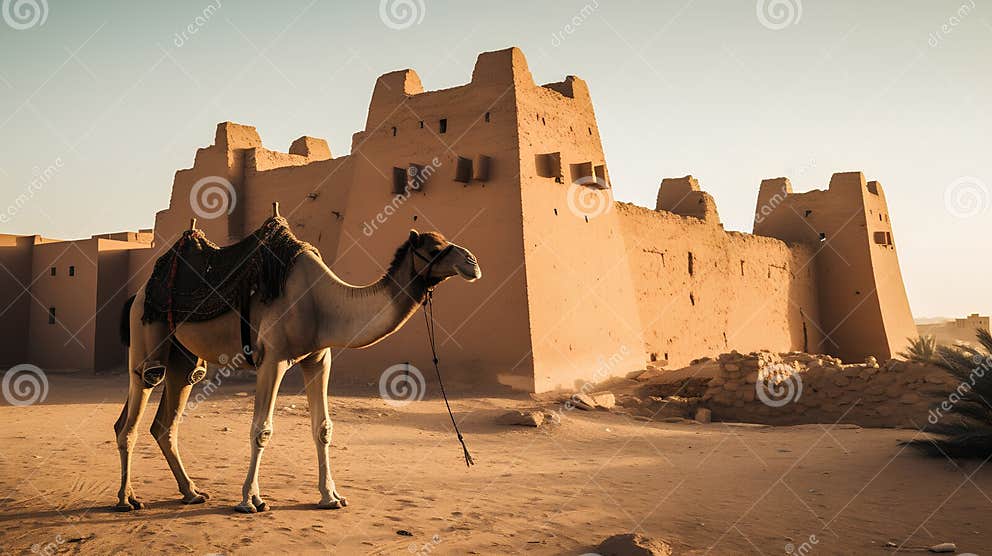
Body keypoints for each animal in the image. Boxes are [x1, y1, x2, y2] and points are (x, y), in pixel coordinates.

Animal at [113, 226, 481, 513]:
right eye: (434, 248)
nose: (472, 262)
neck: (323, 302)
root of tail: (138, 293)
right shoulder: (273, 358)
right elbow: (261, 428)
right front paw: (250, 500)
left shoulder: (318, 358)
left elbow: (323, 428)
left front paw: (331, 497)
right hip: (147, 342)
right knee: (132, 414)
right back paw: (127, 499)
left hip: (184, 361)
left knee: (164, 423)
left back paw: (191, 493)